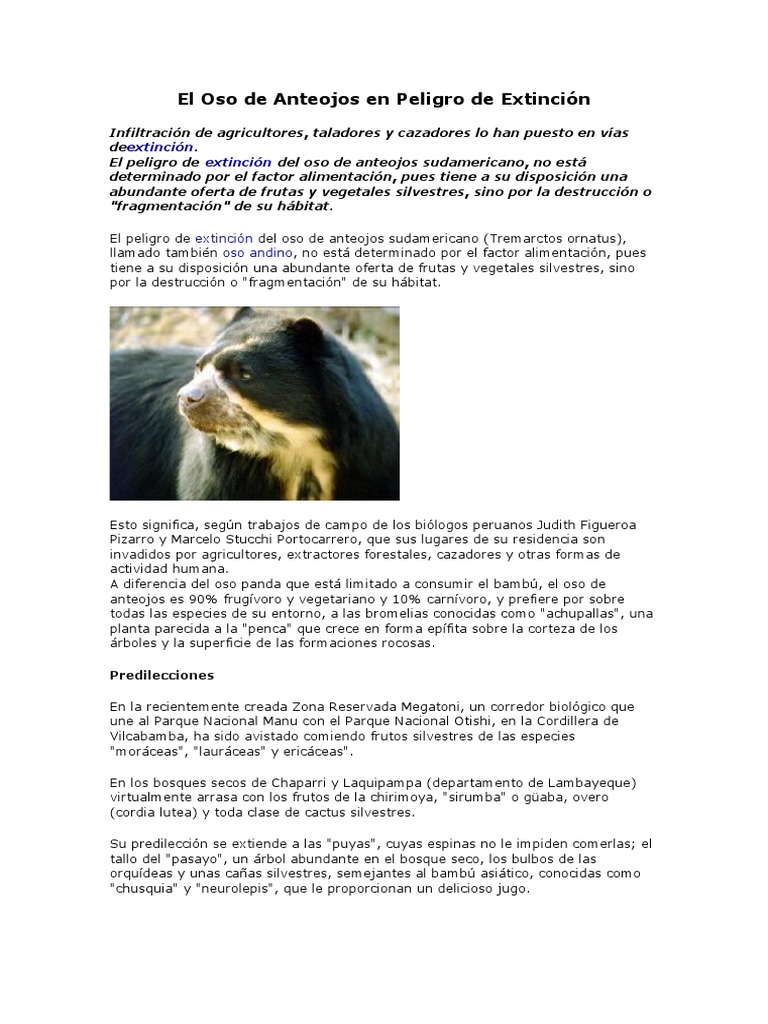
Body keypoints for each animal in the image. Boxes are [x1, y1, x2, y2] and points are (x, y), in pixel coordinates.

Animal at [110, 308, 399, 500]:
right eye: (199, 367)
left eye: (245, 374)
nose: (187, 398)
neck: (298, 445)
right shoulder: (222, 476)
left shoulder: (368, 461)